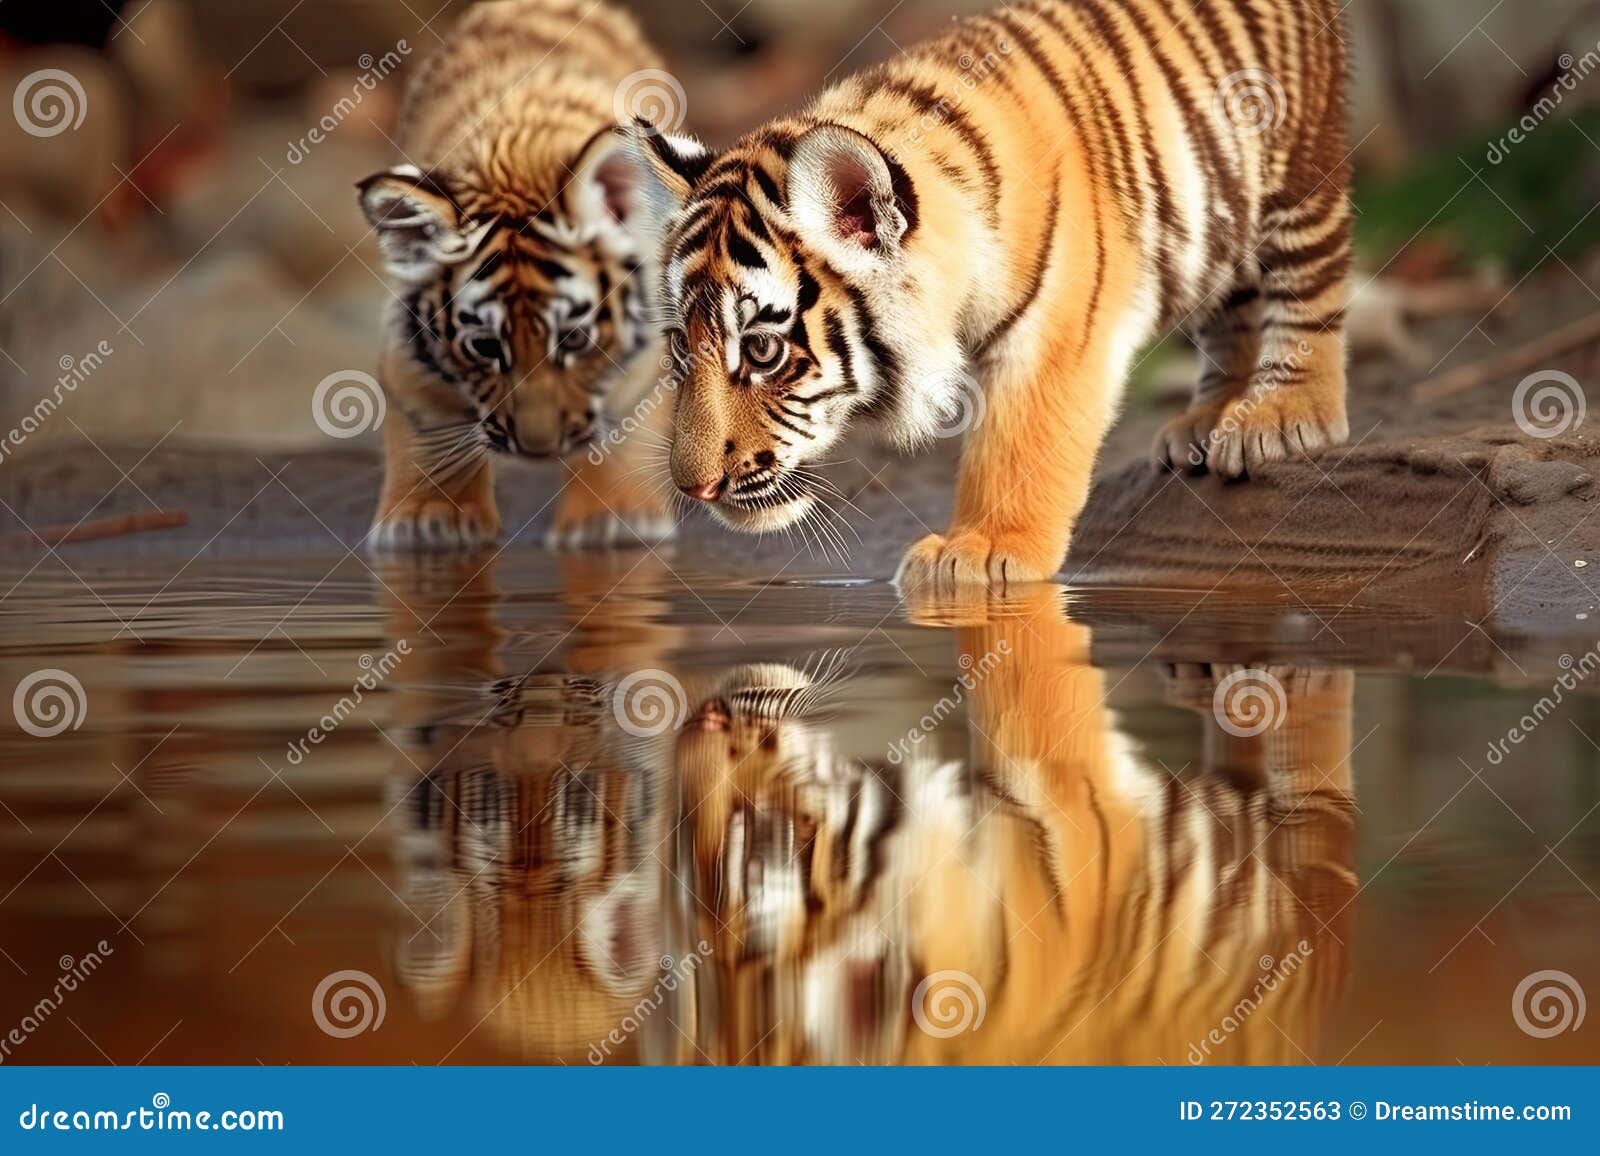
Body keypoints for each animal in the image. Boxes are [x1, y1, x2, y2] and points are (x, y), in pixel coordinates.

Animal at [359, 0, 676, 552]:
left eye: (573, 339)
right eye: (485, 346)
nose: (537, 449)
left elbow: (624, 423)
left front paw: (613, 522)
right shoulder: (407, 352)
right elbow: (428, 425)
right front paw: (429, 524)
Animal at [630, 0, 1352, 592]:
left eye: (762, 350)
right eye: (681, 346)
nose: (694, 488)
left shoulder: (1055, 337)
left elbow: (1019, 447)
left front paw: (980, 554)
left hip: (1301, 167)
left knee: (1309, 289)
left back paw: (1279, 417)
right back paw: (1208, 419)